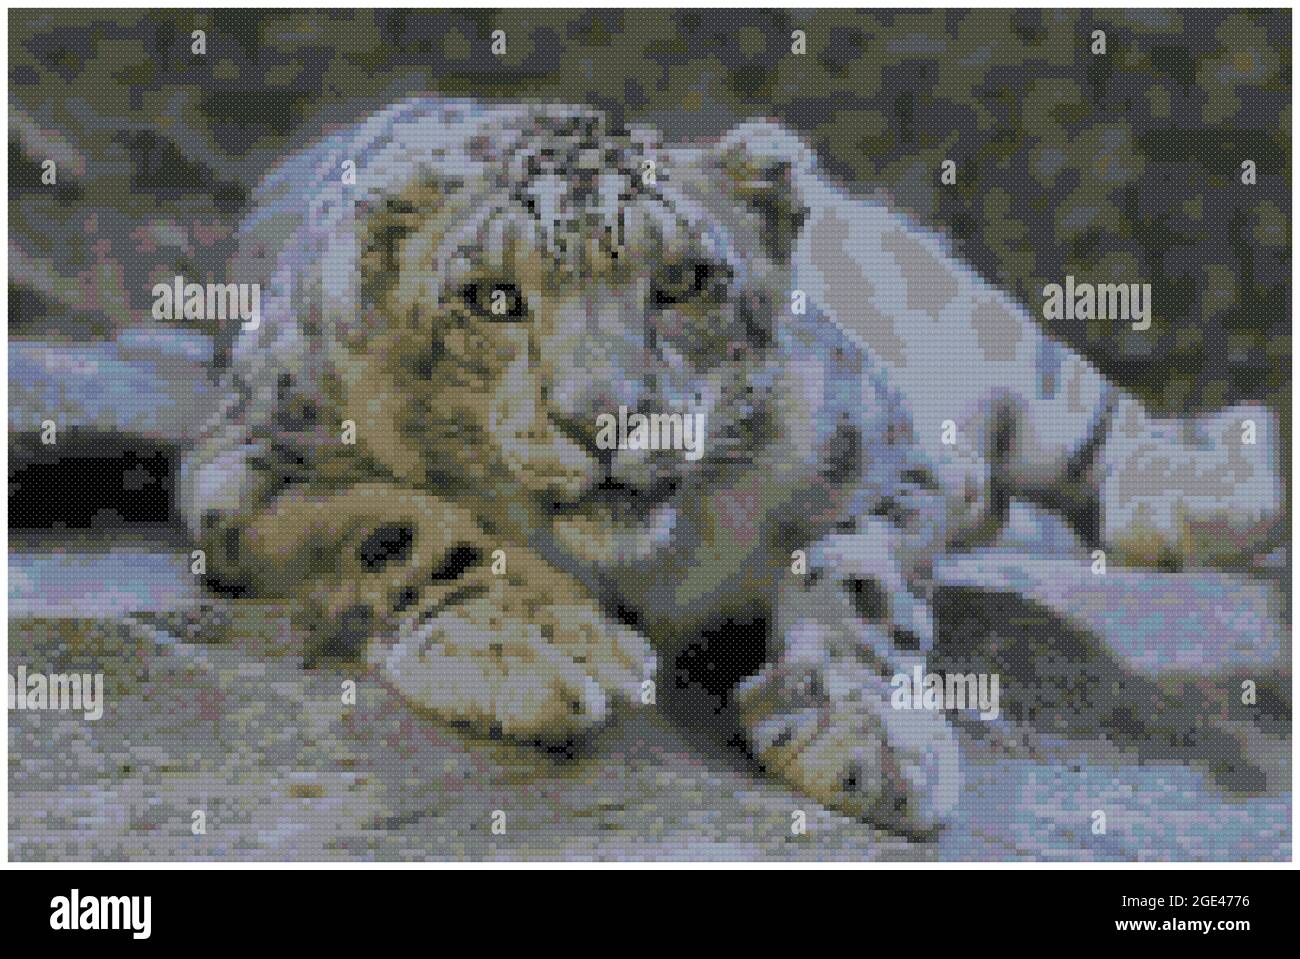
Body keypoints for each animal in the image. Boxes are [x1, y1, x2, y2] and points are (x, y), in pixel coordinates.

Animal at [179, 97, 1282, 835]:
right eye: (492, 298)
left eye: (682, 281)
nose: (607, 420)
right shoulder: (251, 459)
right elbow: (407, 520)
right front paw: (539, 644)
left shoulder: (883, 452)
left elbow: (861, 580)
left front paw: (862, 733)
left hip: (966, 321)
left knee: (1079, 402)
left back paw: (1205, 491)